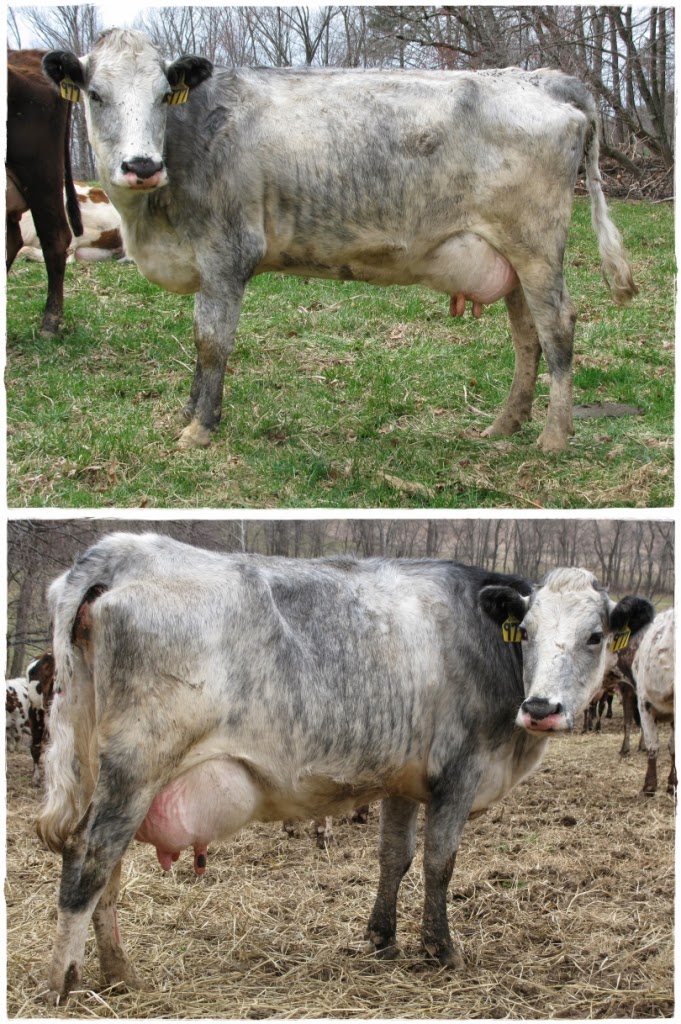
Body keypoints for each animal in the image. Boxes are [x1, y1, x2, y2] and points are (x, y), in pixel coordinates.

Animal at [36, 533, 654, 1003]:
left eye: (595, 636)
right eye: (525, 633)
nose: (542, 708)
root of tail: (121, 549)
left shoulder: (405, 778)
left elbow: (394, 856)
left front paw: (382, 937)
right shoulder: (460, 773)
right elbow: (439, 861)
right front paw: (440, 948)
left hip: (103, 769)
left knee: (106, 865)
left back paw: (119, 974)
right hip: (137, 763)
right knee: (90, 856)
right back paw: (64, 982)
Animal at [42, 29, 636, 454]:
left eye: (164, 95)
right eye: (95, 94)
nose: (141, 165)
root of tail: (535, 77)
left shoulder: (227, 256)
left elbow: (211, 344)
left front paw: (200, 429)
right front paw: (189, 416)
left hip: (536, 247)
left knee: (558, 328)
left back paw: (554, 438)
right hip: (509, 258)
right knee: (527, 336)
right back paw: (505, 425)